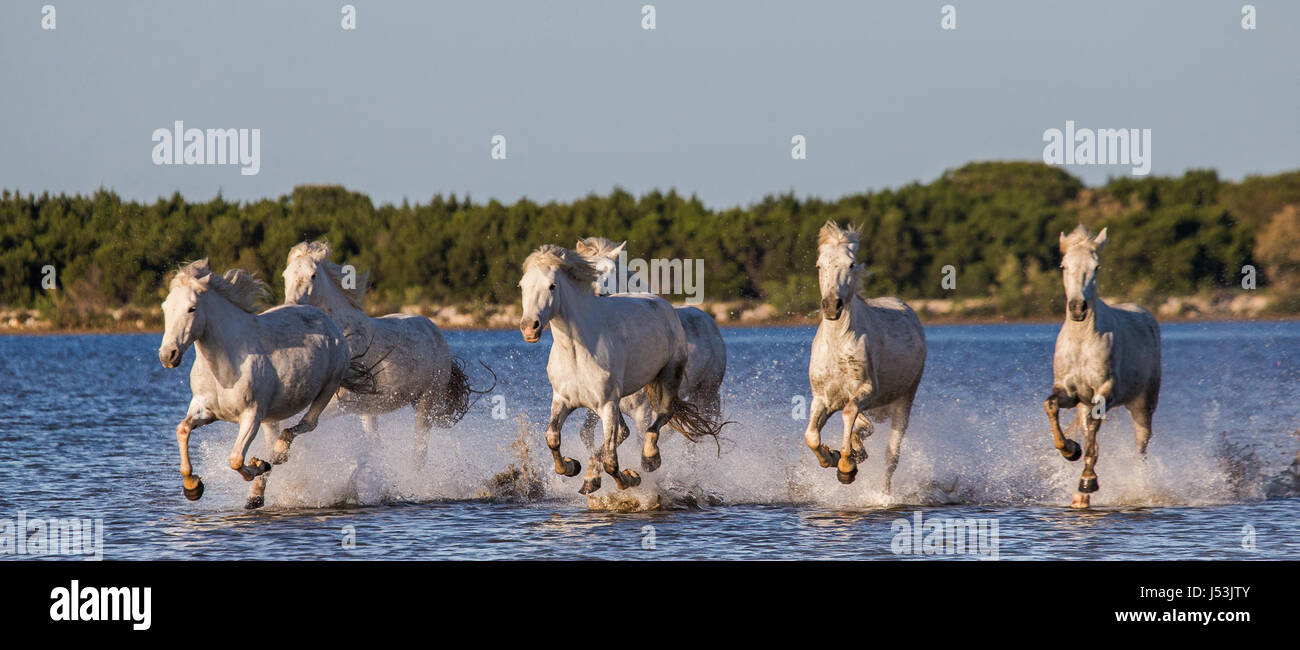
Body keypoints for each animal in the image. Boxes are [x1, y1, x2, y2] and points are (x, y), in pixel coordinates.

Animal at [159, 259, 356, 509]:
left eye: (191, 308)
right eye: (165, 307)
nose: (168, 355)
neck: (225, 365)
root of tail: (328, 321)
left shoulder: (251, 415)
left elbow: (235, 459)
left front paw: (258, 464)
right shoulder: (205, 410)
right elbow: (182, 429)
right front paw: (192, 487)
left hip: (329, 386)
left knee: (307, 424)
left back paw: (279, 452)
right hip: (271, 418)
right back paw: (256, 496)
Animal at [283, 241, 485, 466]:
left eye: (313, 275)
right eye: (285, 275)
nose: (290, 307)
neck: (344, 337)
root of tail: (435, 330)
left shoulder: (343, 401)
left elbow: (304, 429)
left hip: (427, 402)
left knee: (419, 453)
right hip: (372, 411)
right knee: (378, 443)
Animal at [572, 237, 727, 448]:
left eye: (612, 271)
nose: (596, 294)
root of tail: (710, 322)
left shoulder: (642, 414)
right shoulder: (598, 407)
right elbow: (589, 435)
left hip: (706, 394)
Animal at [803, 221, 927, 492]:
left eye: (851, 264)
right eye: (819, 265)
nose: (832, 306)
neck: (839, 344)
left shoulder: (868, 390)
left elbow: (849, 414)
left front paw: (846, 467)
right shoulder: (822, 398)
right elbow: (812, 436)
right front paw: (833, 457)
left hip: (905, 398)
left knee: (891, 456)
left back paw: (883, 494)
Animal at [1044, 225, 1161, 508]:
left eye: (1096, 266)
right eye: (1063, 265)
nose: (1078, 308)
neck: (1081, 340)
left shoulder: (1104, 391)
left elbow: (1094, 434)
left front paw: (1088, 480)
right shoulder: (1070, 393)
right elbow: (1051, 406)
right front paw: (1070, 450)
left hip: (1143, 404)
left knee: (1141, 445)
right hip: (1086, 404)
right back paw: (1080, 497)